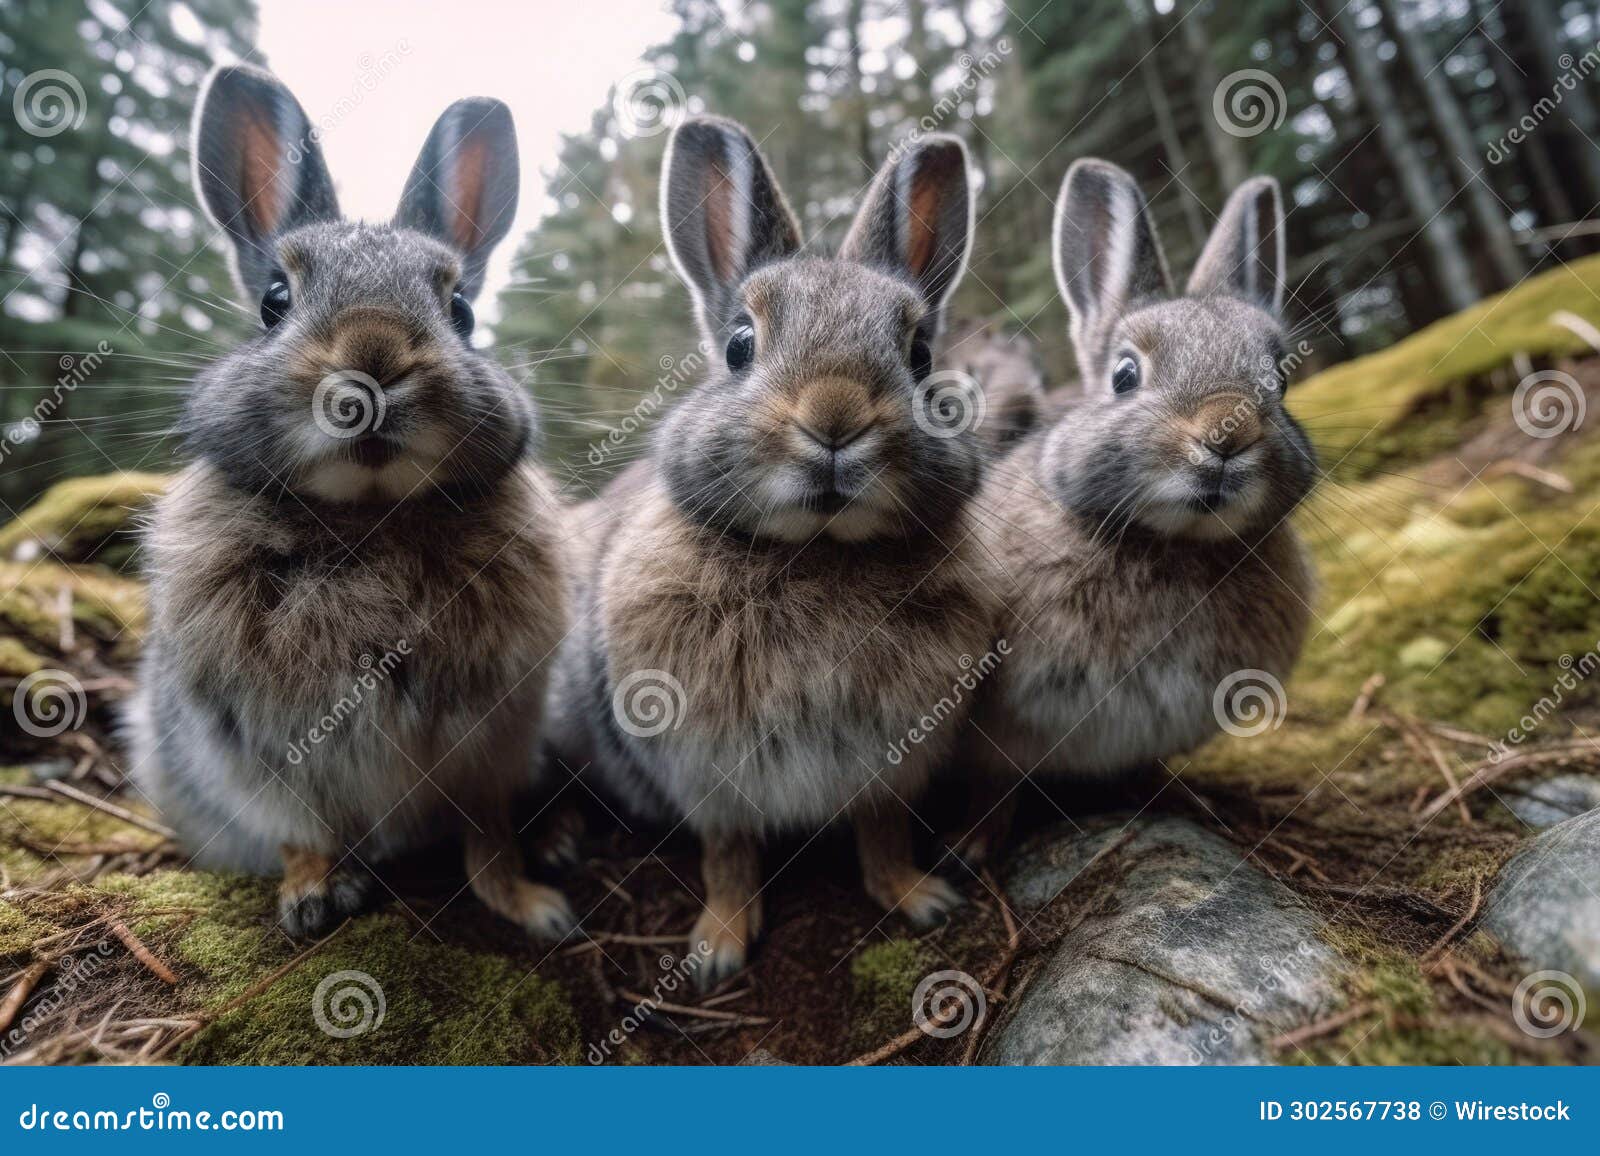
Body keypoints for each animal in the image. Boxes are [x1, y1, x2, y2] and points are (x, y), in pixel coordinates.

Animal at [124, 65, 574, 941]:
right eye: (274, 299)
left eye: (462, 311)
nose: (374, 357)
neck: (371, 516)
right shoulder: (258, 757)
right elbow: (305, 832)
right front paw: (310, 897)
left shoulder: (490, 746)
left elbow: (488, 839)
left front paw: (533, 907)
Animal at [554, 116, 993, 986]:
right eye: (739, 345)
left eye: (921, 354)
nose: (835, 417)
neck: (817, 552)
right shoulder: (706, 772)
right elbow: (728, 855)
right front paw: (718, 947)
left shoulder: (890, 764)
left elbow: (883, 833)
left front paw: (919, 898)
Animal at [949, 160, 1318, 864]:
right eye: (1125, 375)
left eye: (1281, 381)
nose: (1227, 434)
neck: (1173, 542)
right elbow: (988, 781)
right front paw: (976, 844)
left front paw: (1186, 803)